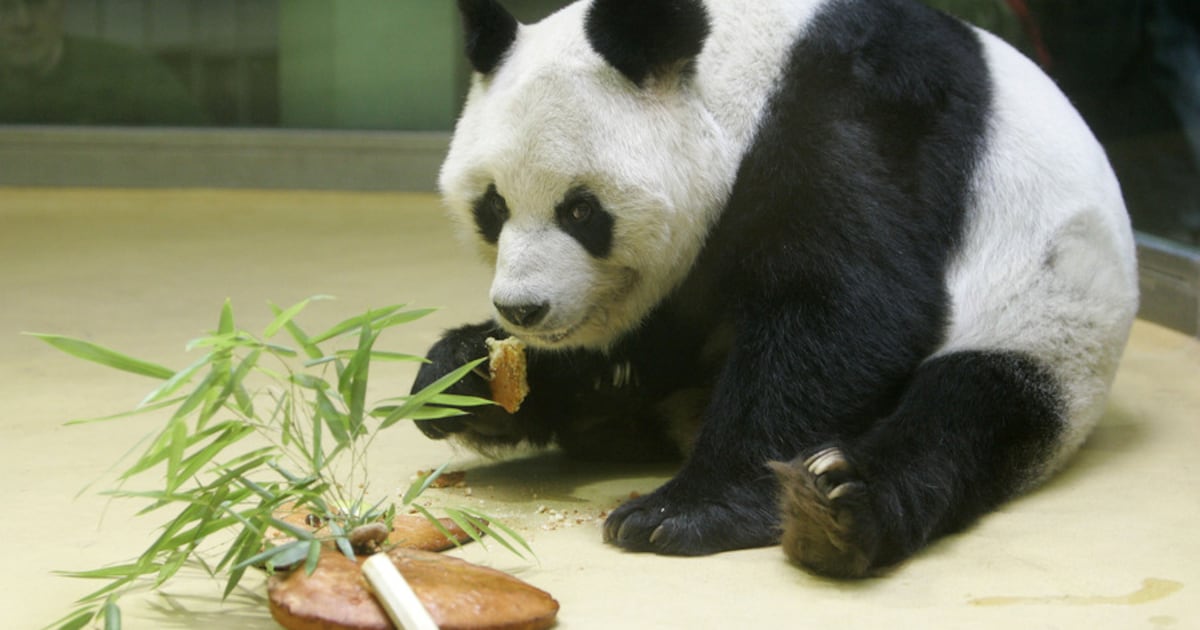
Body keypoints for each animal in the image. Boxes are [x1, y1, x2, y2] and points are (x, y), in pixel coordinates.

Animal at [412, 0, 1139, 578]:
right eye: (493, 207)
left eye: (581, 211)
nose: (522, 309)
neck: (749, 70)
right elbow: (633, 348)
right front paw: (469, 374)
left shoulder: (857, 115)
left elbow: (846, 308)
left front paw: (680, 513)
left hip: (1052, 327)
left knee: (965, 413)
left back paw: (837, 510)